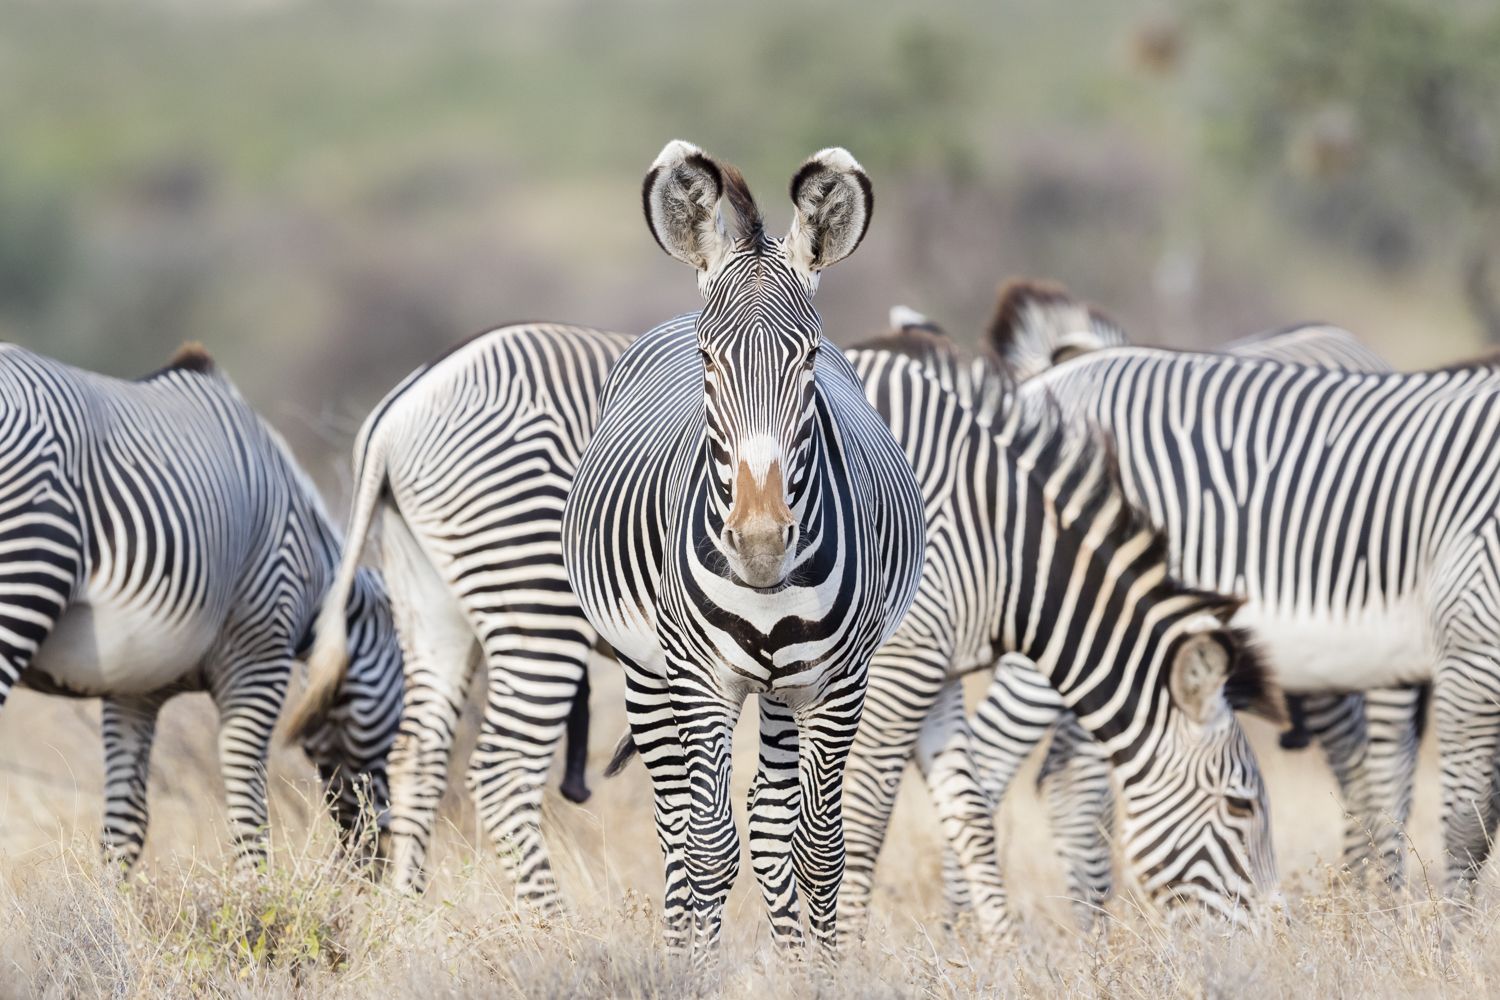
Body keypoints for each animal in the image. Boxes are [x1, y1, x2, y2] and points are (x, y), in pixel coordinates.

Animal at [0, 342, 402, 871]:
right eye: (405, 714)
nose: (374, 855)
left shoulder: (132, 688)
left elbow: (125, 827)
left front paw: (107, 897)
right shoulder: (259, 653)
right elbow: (248, 808)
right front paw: (258, 889)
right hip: (27, 575)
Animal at [285, 321, 630, 908]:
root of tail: (393, 418)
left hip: (429, 598)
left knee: (415, 755)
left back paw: (408, 915)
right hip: (537, 581)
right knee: (504, 773)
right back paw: (557, 927)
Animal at [561, 142, 926, 960]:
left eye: (810, 359)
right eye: (708, 360)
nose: (760, 542)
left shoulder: (839, 682)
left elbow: (817, 845)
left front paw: (820, 972)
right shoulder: (699, 681)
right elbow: (707, 846)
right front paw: (693, 968)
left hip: (783, 692)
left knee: (769, 821)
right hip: (645, 671)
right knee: (678, 827)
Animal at [833, 335, 1284, 940]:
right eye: (1240, 807)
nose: (1275, 943)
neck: (1004, 549)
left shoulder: (938, 666)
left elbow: (970, 814)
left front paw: (1002, 951)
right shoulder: (903, 661)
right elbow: (864, 818)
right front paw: (843, 951)